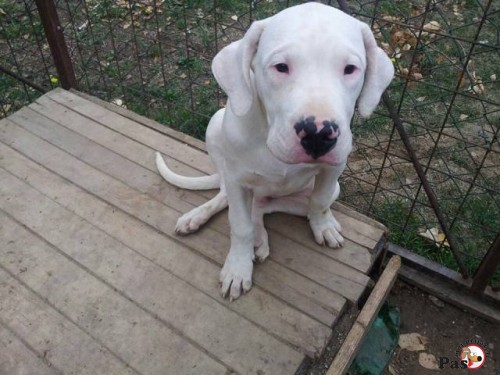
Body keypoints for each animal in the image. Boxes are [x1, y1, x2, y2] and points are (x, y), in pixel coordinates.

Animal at [156, 2, 394, 302]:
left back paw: (263, 235)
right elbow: (239, 225)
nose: (317, 135)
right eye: (281, 67)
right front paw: (237, 268)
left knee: (263, 208)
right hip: (214, 128)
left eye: (350, 69)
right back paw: (197, 217)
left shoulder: (334, 169)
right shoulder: (236, 180)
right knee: (227, 198)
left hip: (316, 191)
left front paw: (324, 227)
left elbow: (320, 201)